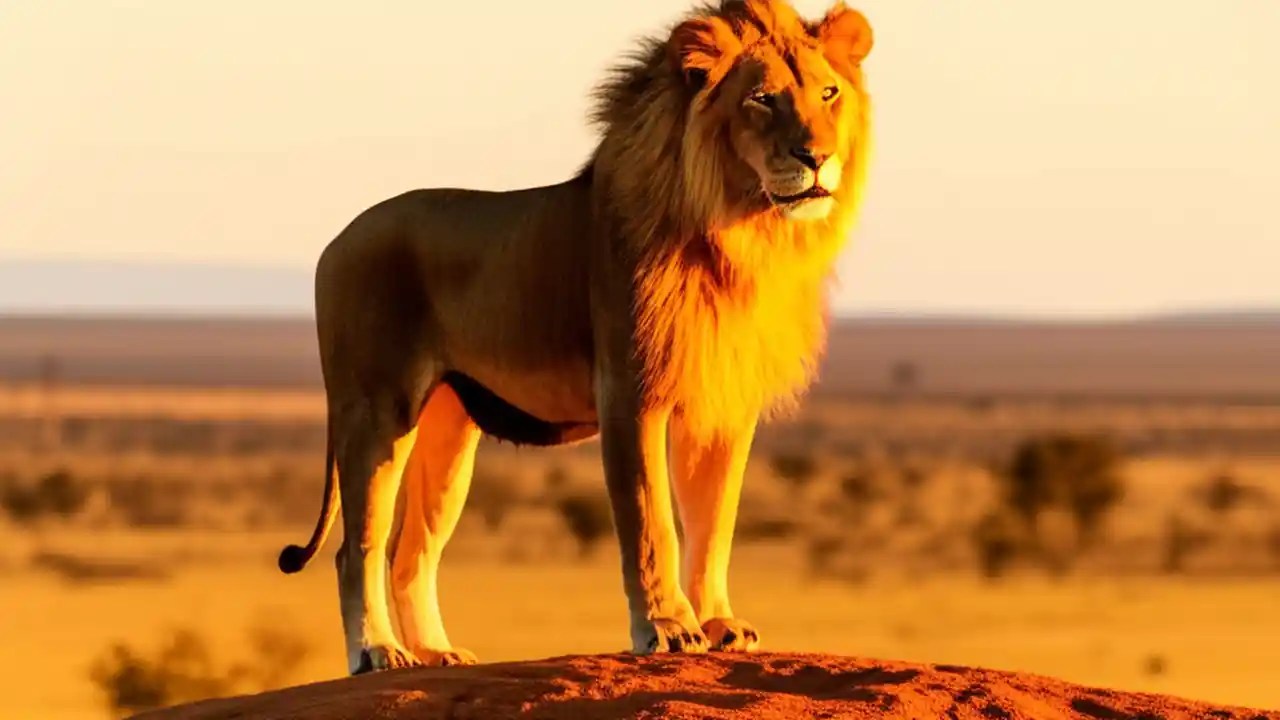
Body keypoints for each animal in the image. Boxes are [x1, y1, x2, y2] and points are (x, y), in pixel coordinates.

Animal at [278, 0, 874, 674]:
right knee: (358, 548)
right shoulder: (631, 393)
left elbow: (714, 521)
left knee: (412, 550)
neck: (739, 233)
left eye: (828, 94)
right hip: (377, 411)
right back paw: (379, 651)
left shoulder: (723, 404)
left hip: (446, 431)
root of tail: (337, 240)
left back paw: (435, 651)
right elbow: (651, 523)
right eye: (763, 99)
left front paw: (719, 623)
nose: (817, 157)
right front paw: (667, 628)